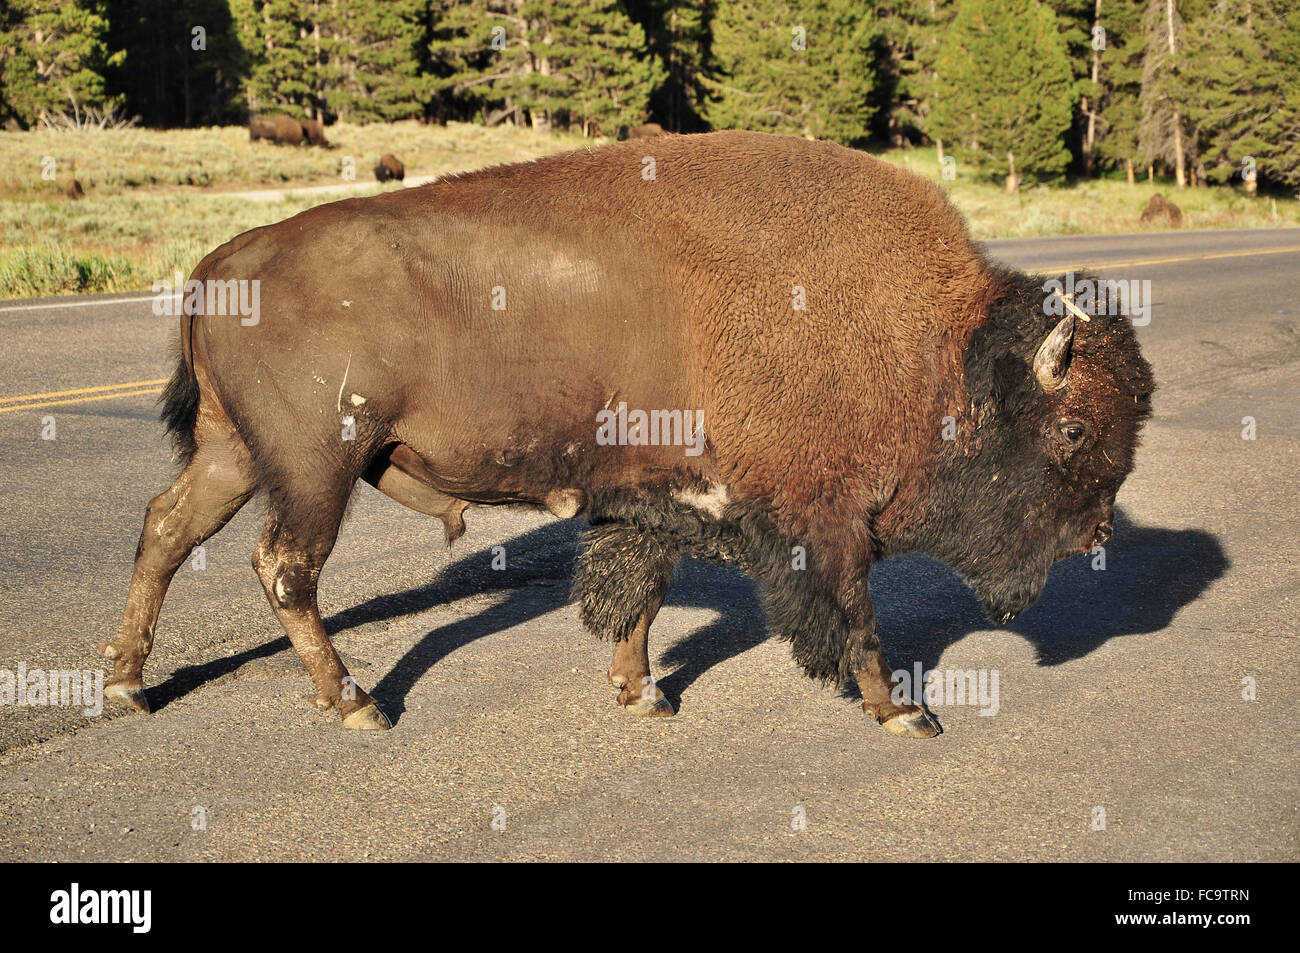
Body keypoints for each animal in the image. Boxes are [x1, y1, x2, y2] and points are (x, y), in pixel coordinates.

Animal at [104, 131, 1153, 737]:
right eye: (1071, 427)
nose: (1098, 535)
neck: (934, 347)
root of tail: (214, 267)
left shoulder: (655, 499)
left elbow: (636, 595)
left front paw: (641, 694)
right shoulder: (826, 523)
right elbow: (854, 617)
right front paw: (904, 713)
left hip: (233, 453)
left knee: (165, 529)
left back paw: (128, 687)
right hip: (315, 467)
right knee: (283, 566)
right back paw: (359, 705)